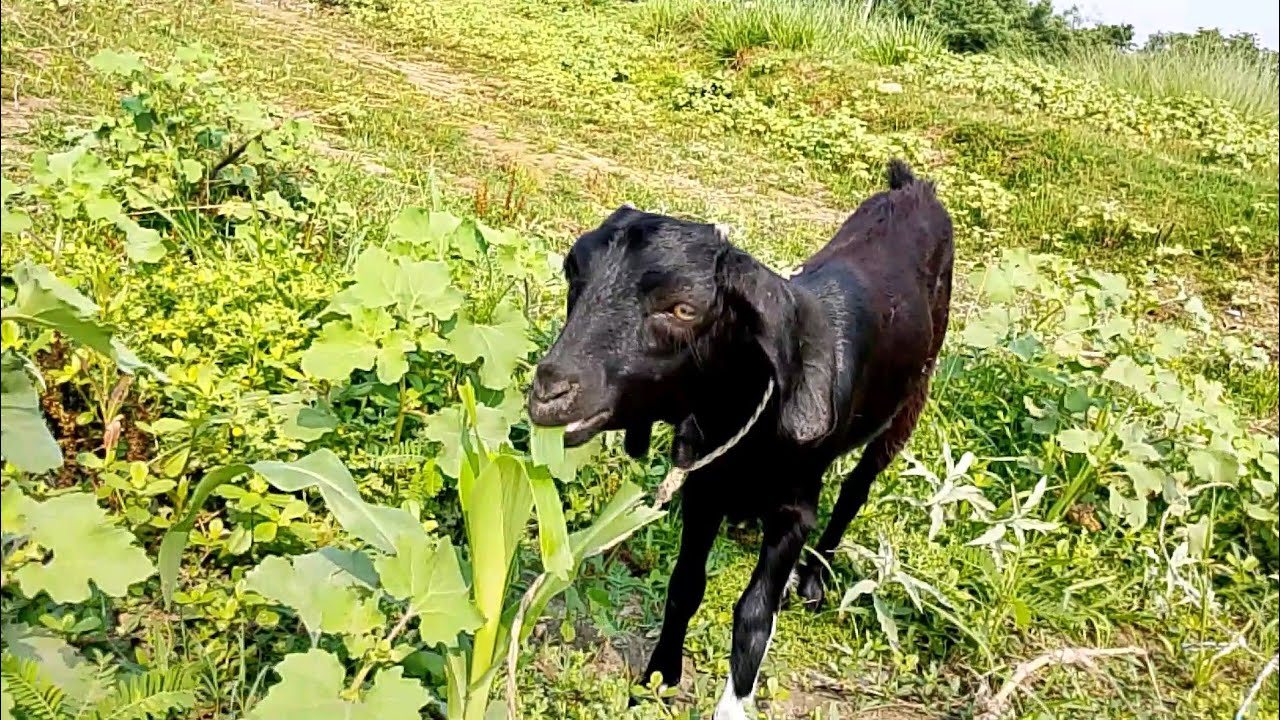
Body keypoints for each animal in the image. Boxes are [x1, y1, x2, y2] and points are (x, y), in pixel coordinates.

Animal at [527, 160, 954, 719]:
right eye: (573, 273)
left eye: (683, 309)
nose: (549, 391)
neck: (752, 419)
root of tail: (915, 189)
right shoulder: (703, 486)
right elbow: (685, 586)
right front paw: (658, 678)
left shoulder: (795, 511)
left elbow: (754, 617)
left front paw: (732, 702)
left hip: (911, 400)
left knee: (856, 488)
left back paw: (813, 578)